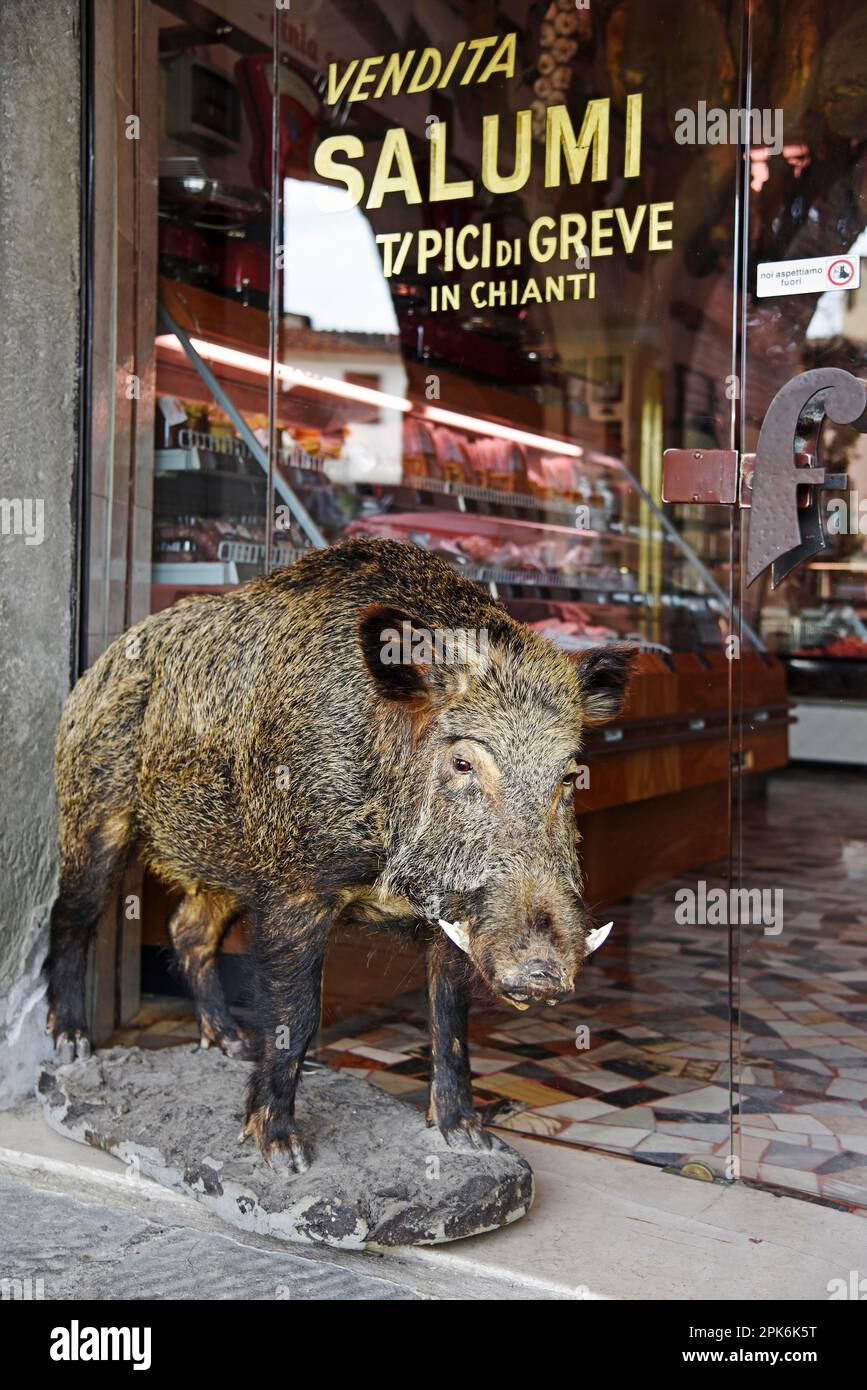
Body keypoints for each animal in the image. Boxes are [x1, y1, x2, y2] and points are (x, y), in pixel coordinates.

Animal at [48, 538, 635, 1170]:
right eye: (462, 763)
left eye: (569, 775)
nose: (542, 973)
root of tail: (97, 667)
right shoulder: (295, 882)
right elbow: (298, 1011)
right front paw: (284, 1154)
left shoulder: (454, 919)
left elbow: (449, 1016)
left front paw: (469, 1139)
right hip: (93, 807)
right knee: (73, 914)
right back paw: (71, 1046)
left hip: (227, 863)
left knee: (188, 928)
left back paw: (230, 1044)